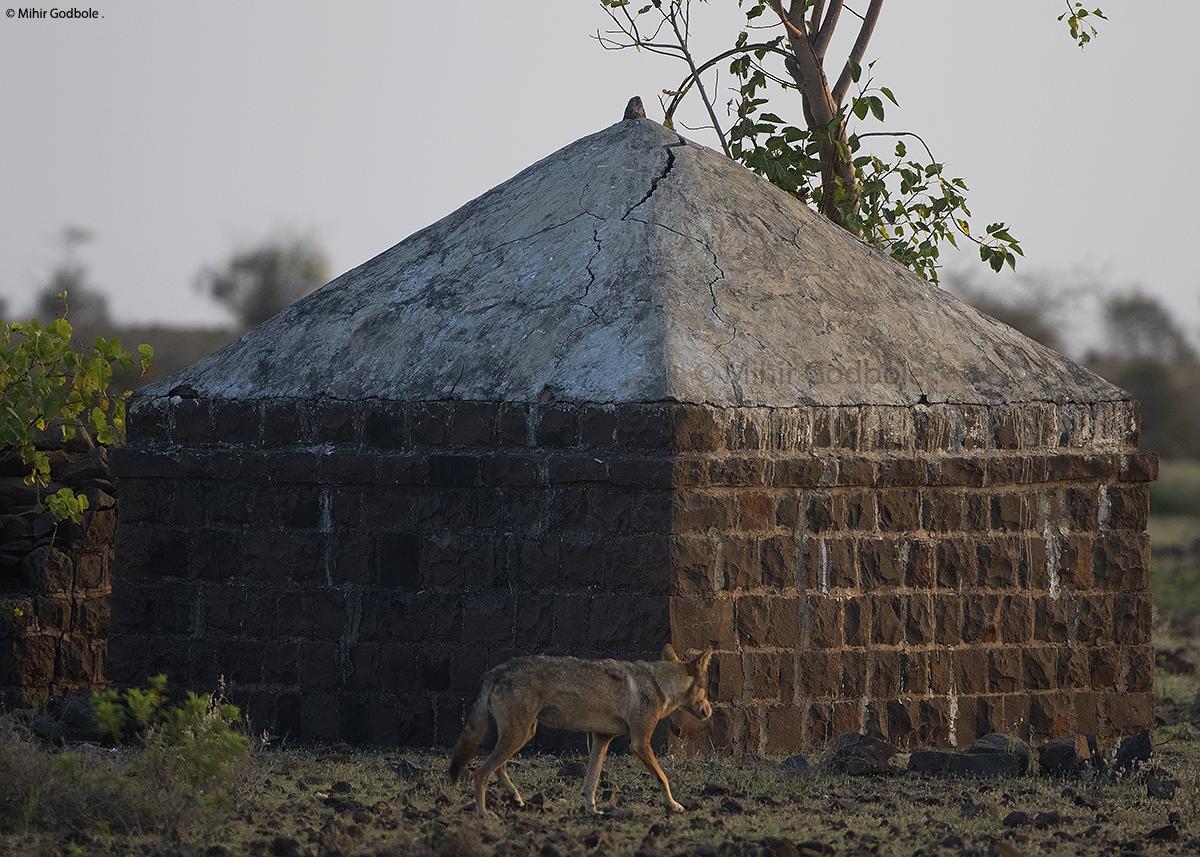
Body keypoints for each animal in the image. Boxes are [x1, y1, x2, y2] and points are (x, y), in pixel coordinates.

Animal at [448, 644, 714, 816]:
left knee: (498, 767)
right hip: (519, 735)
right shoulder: (640, 744)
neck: (659, 685)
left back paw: (516, 799)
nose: (710, 711)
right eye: (707, 688)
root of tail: (494, 671)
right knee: (480, 773)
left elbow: (591, 782)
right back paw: (484, 814)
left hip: (522, 734)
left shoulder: (602, 738)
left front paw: (592, 810)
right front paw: (673, 805)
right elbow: (663, 777)